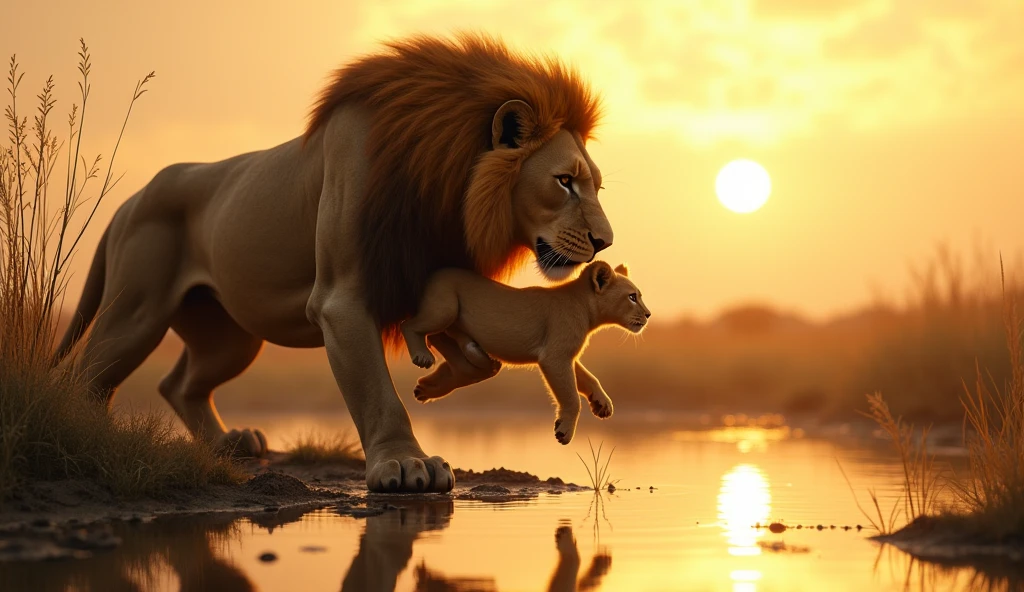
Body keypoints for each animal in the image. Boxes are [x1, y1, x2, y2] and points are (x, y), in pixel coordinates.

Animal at [53, 33, 612, 493]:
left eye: (596, 186)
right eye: (564, 181)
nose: (605, 242)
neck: (448, 186)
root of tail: (131, 200)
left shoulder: (434, 279)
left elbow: (480, 360)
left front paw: (434, 380)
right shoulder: (341, 300)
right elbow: (378, 392)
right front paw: (406, 464)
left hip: (232, 338)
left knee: (180, 383)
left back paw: (231, 443)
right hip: (137, 313)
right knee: (88, 376)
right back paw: (96, 438)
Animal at [402, 261, 650, 444]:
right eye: (632, 297)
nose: (648, 315)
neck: (587, 309)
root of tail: (434, 273)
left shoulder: (566, 355)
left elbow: (588, 378)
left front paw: (602, 404)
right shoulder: (555, 357)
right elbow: (570, 395)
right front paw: (564, 431)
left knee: (454, 353)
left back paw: (427, 387)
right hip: (444, 309)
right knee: (410, 325)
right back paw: (422, 357)